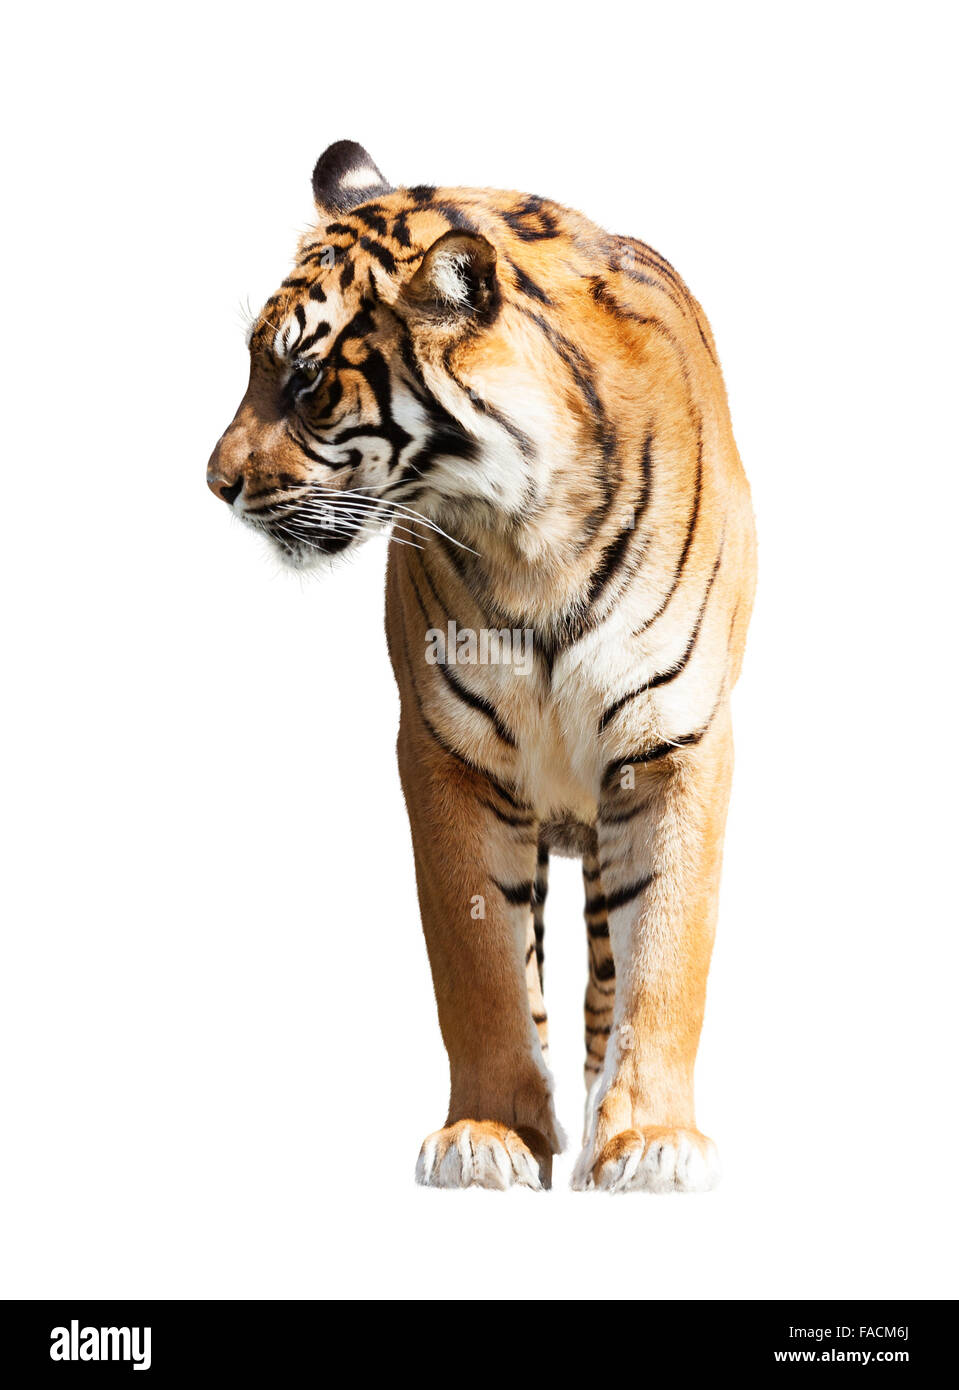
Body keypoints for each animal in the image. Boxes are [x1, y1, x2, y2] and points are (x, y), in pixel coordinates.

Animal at [208, 140, 756, 1192]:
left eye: (304, 381)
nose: (213, 484)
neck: (529, 530)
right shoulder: (444, 750)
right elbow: (478, 963)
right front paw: (490, 1134)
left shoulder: (676, 746)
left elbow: (669, 949)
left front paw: (649, 1139)